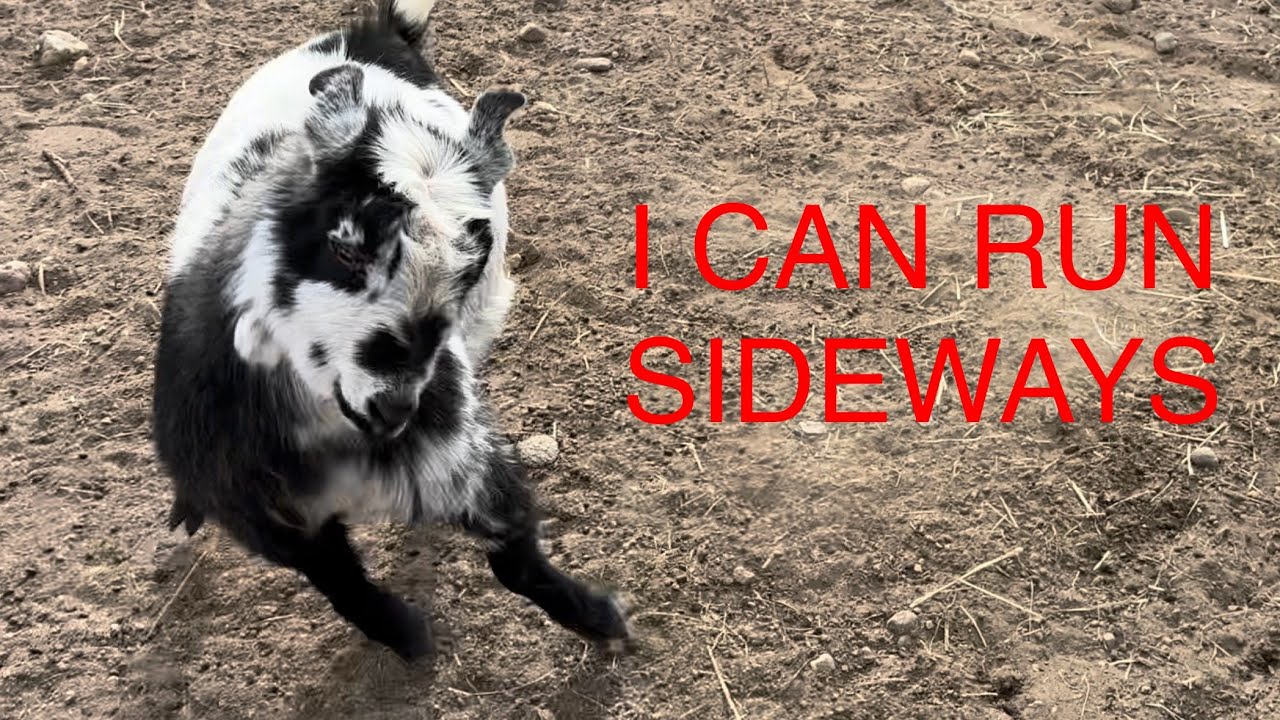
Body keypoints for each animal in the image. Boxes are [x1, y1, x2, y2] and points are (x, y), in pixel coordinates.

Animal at [152, 0, 629, 660]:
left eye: (474, 260)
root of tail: (374, 34)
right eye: (345, 247)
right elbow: (343, 585)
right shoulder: (270, 513)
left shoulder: (462, 461)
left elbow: (514, 553)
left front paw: (598, 618)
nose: (394, 407)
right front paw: (409, 639)